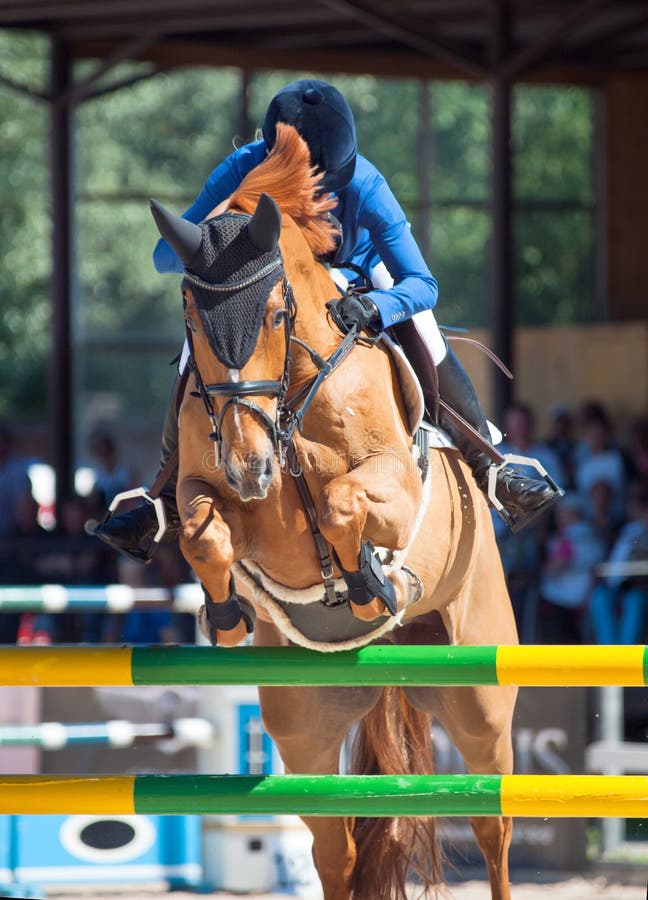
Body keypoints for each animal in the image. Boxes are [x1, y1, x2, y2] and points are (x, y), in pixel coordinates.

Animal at [150, 123, 519, 900]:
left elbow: (345, 503)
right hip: (306, 727)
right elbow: (203, 530)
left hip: (479, 698)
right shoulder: (209, 487)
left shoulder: (390, 484)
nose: (250, 466)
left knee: (493, 825)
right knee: (336, 850)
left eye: (275, 313)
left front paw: (369, 581)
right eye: (192, 317)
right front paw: (225, 613)